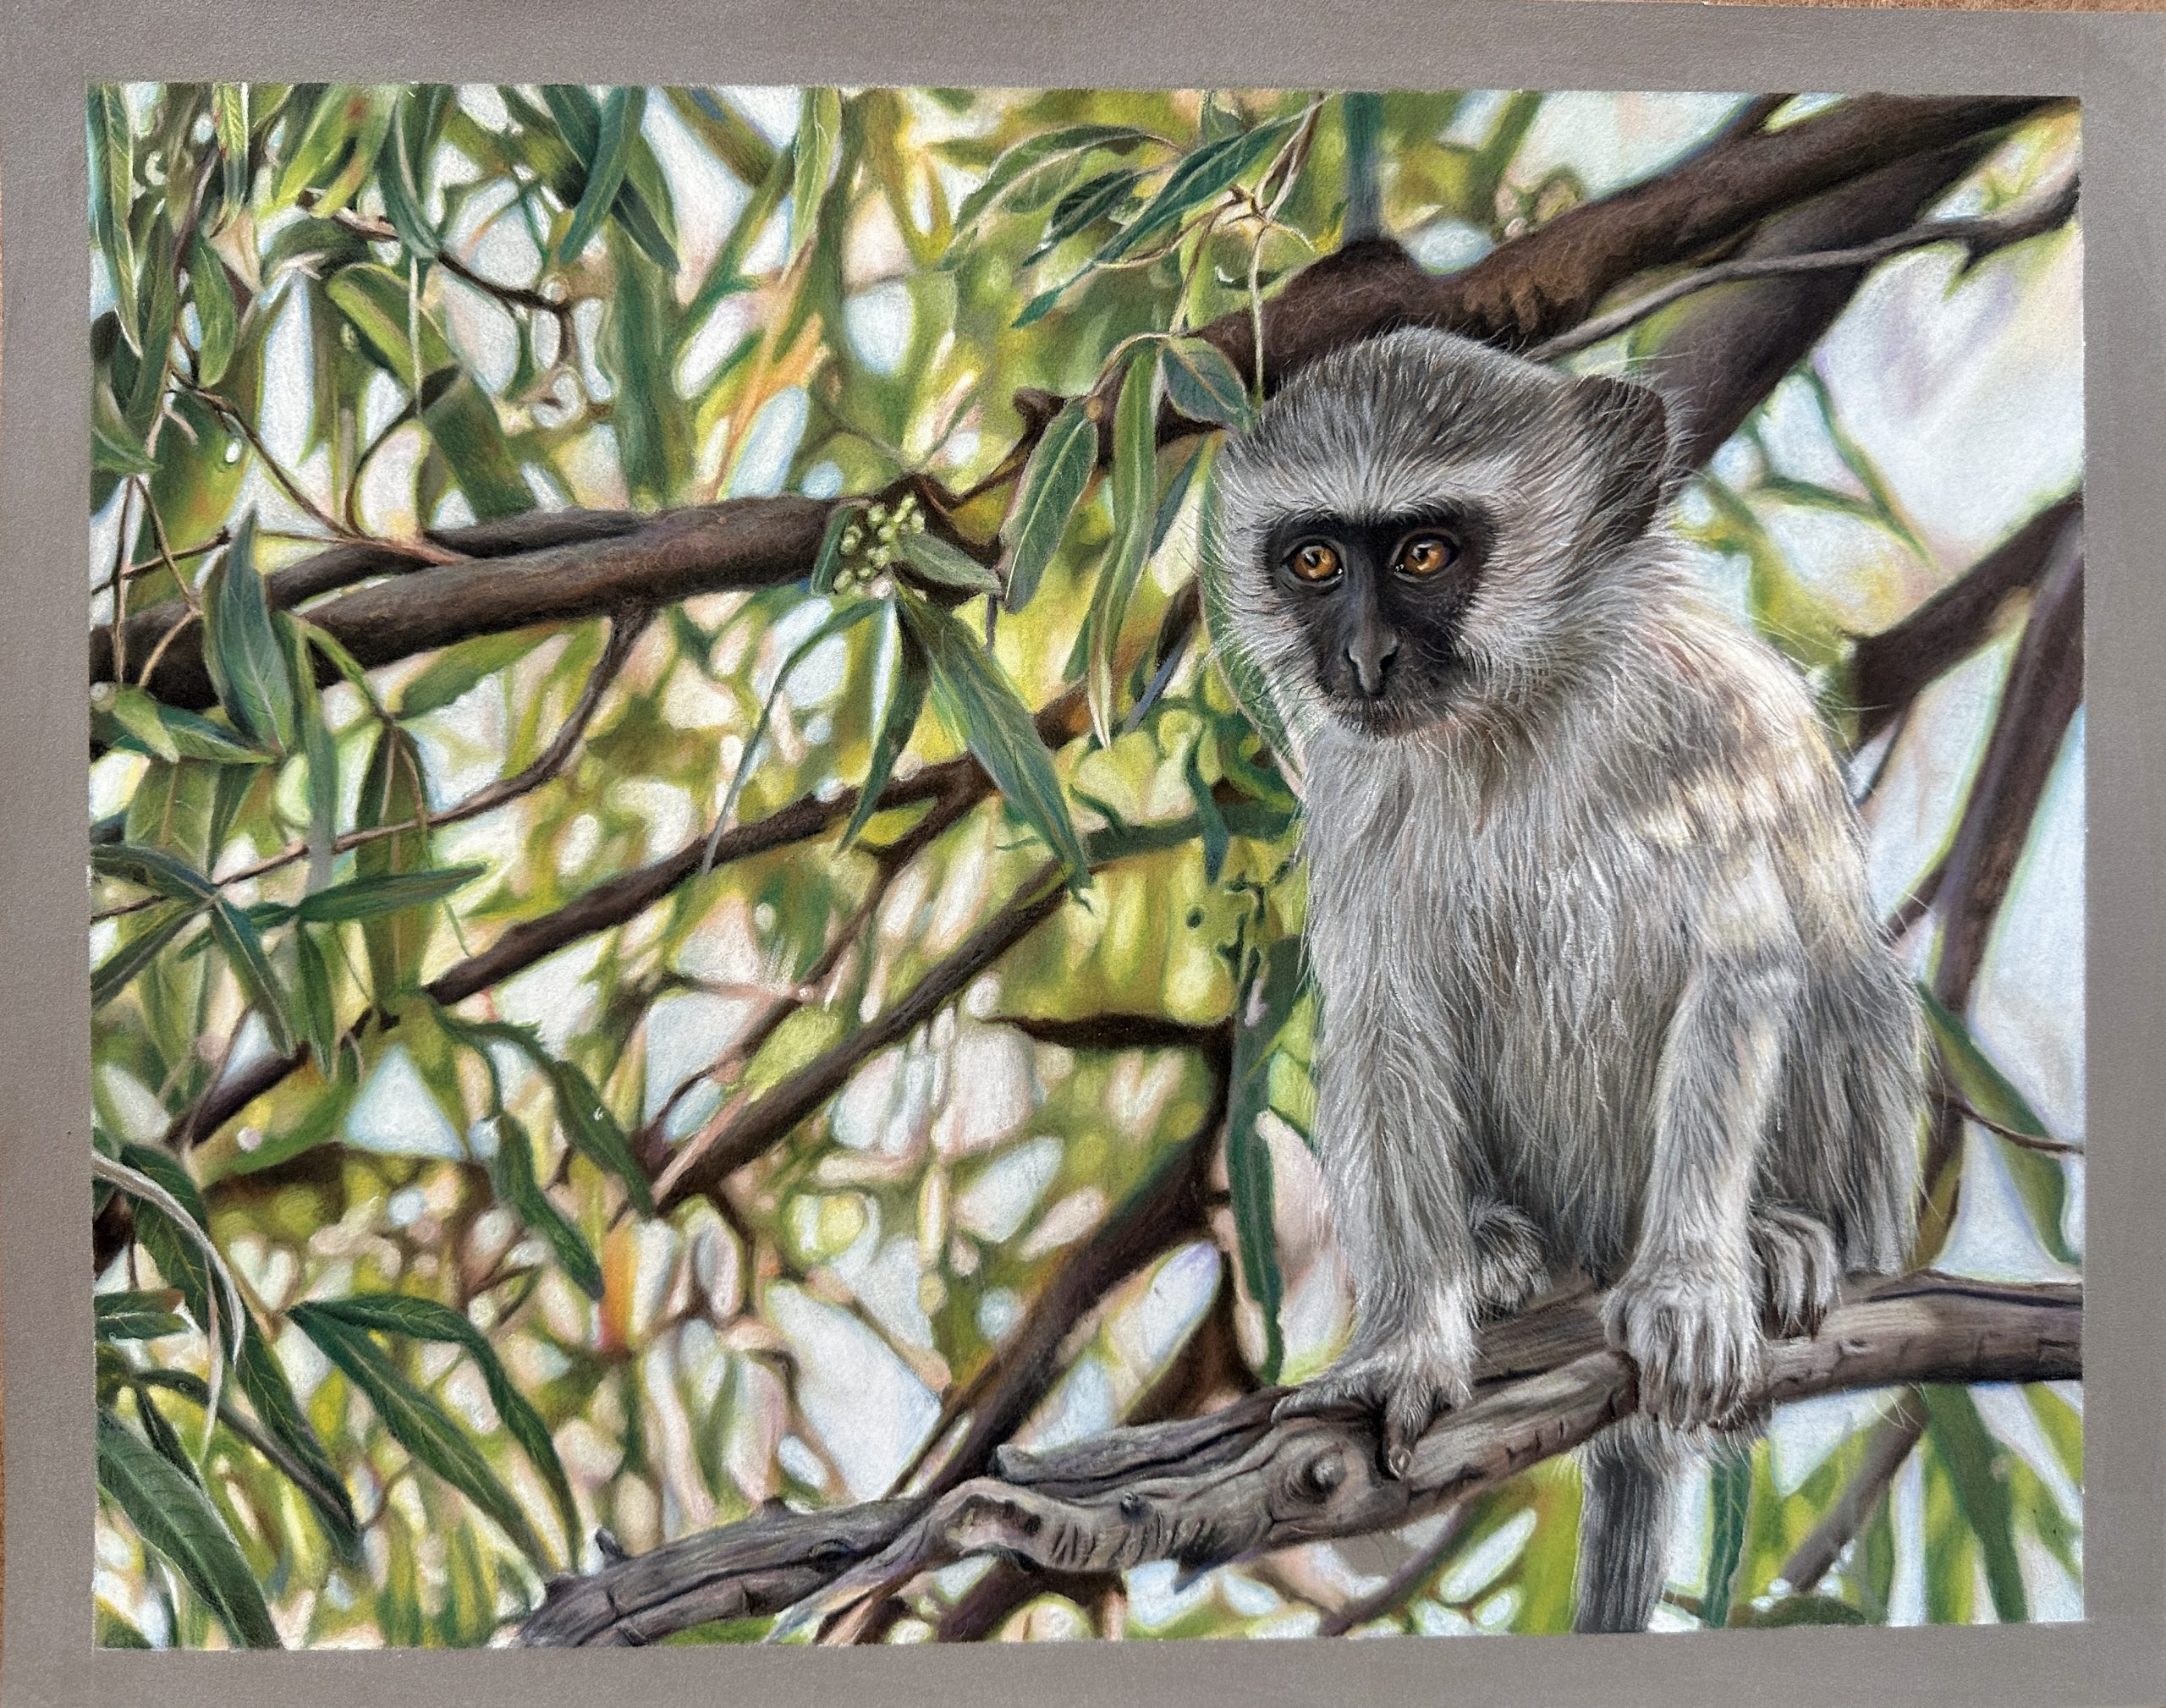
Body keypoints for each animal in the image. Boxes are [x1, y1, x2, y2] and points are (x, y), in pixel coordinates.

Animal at [1208, 327, 1923, 1634]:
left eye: (1427, 553)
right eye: (1316, 559)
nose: (1363, 656)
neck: (1517, 718)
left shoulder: (1707, 724)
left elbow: (1739, 970)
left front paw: (1693, 1283)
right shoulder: (1352, 780)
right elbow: (1385, 1019)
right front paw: (1411, 1339)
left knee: (1849, 980)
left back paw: (1784, 1240)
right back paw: (1496, 1254)